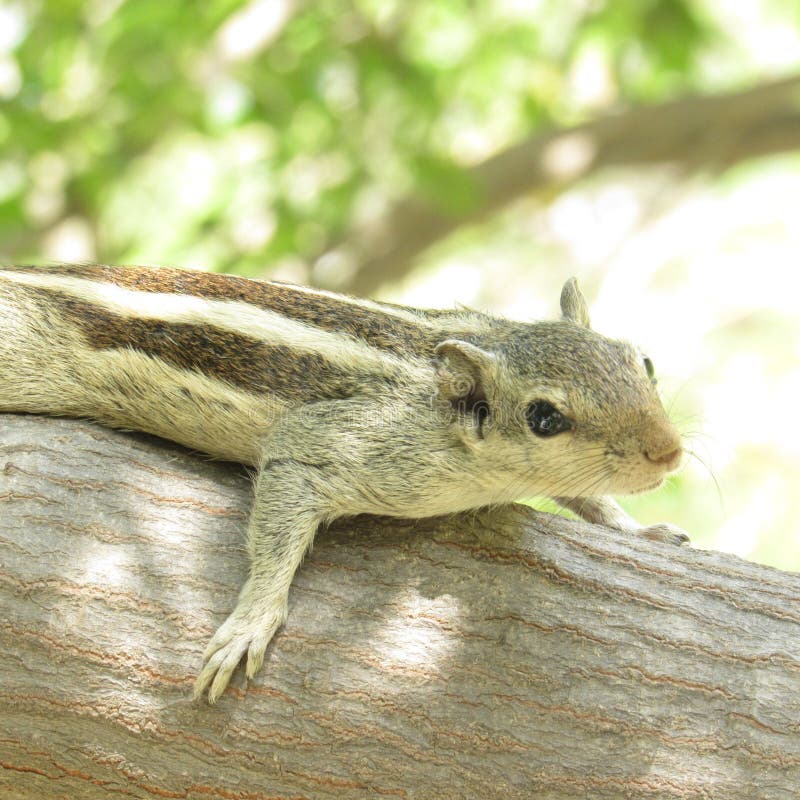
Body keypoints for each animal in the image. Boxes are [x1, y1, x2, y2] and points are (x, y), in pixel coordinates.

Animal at [0, 264, 687, 702]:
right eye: (545, 417)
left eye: (643, 360)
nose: (671, 451)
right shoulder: (339, 443)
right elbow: (282, 505)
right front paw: (251, 621)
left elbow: (586, 495)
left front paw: (642, 530)